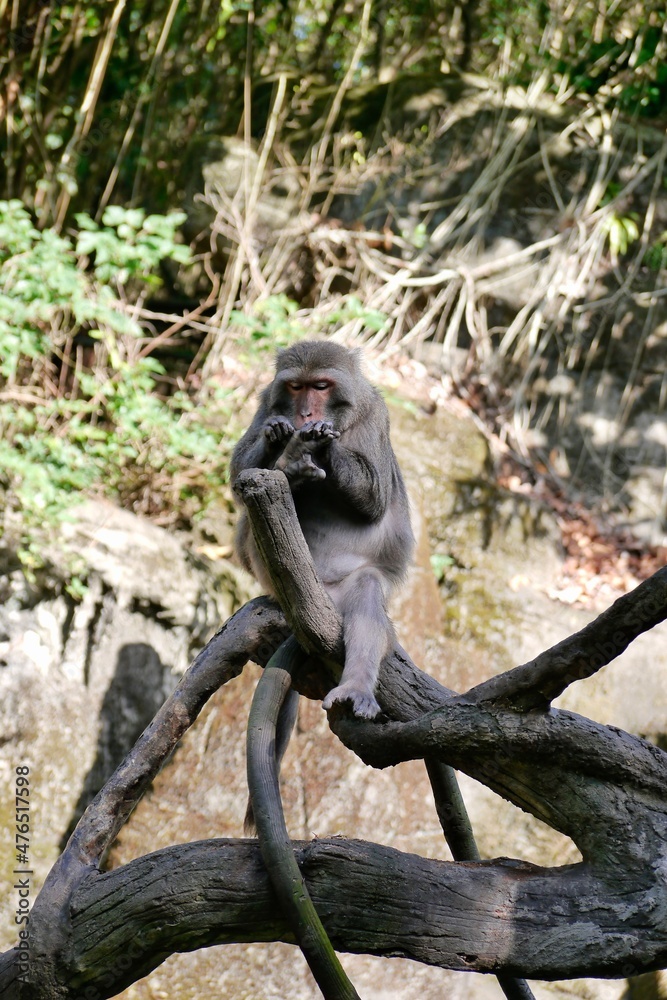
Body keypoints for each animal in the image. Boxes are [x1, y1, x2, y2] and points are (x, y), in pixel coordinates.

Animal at [230, 339, 414, 719]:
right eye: (295, 387)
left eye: (320, 386)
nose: (306, 415)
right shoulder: (265, 402)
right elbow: (238, 475)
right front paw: (279, 440)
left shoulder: (376, 414)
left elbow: (376, 499)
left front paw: (320, 441)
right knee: (250, 514)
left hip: (337, 604)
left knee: (367, 590)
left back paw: (356, 686)